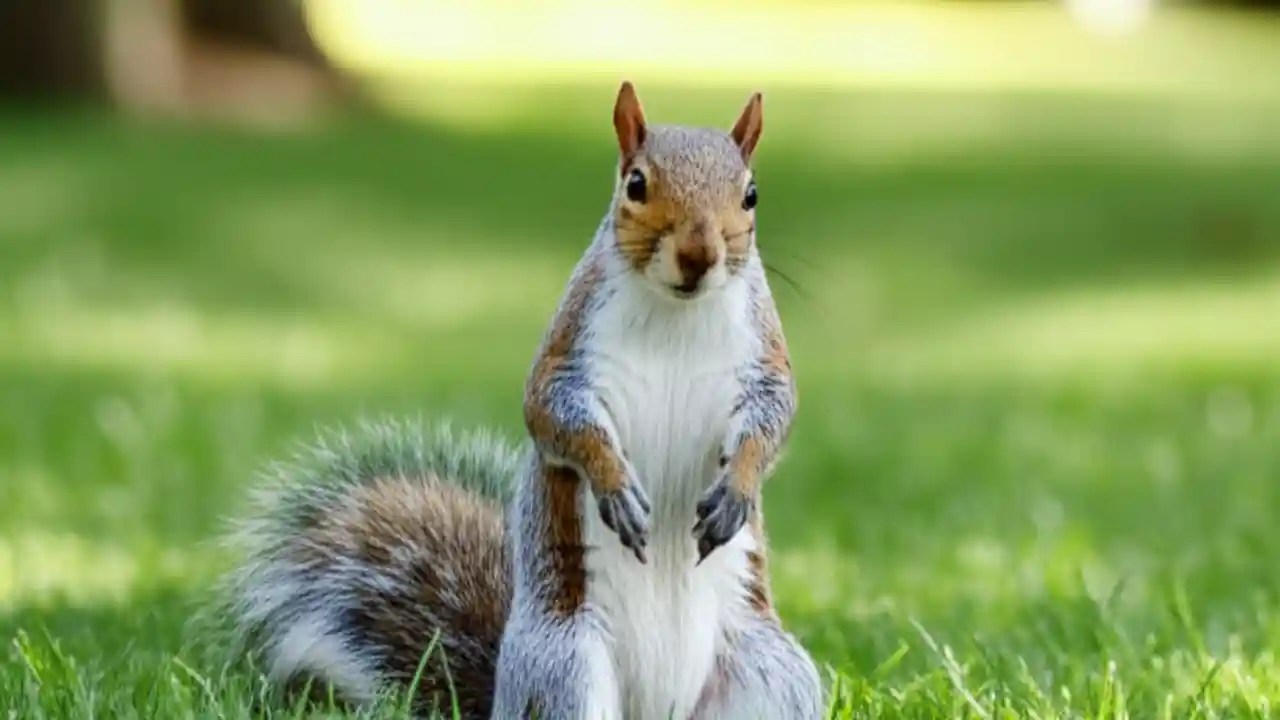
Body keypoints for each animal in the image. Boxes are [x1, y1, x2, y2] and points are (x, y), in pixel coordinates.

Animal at [216, 82, 823, 720]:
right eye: (635, 184)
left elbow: (773, 422)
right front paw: (615, 486)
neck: (677, 311)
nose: (699, 255)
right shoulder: (565, 353)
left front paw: (738, 490)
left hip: (772, 675)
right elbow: (554, 416)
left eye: (751, 195)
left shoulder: (764, 361)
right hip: (565, 668)